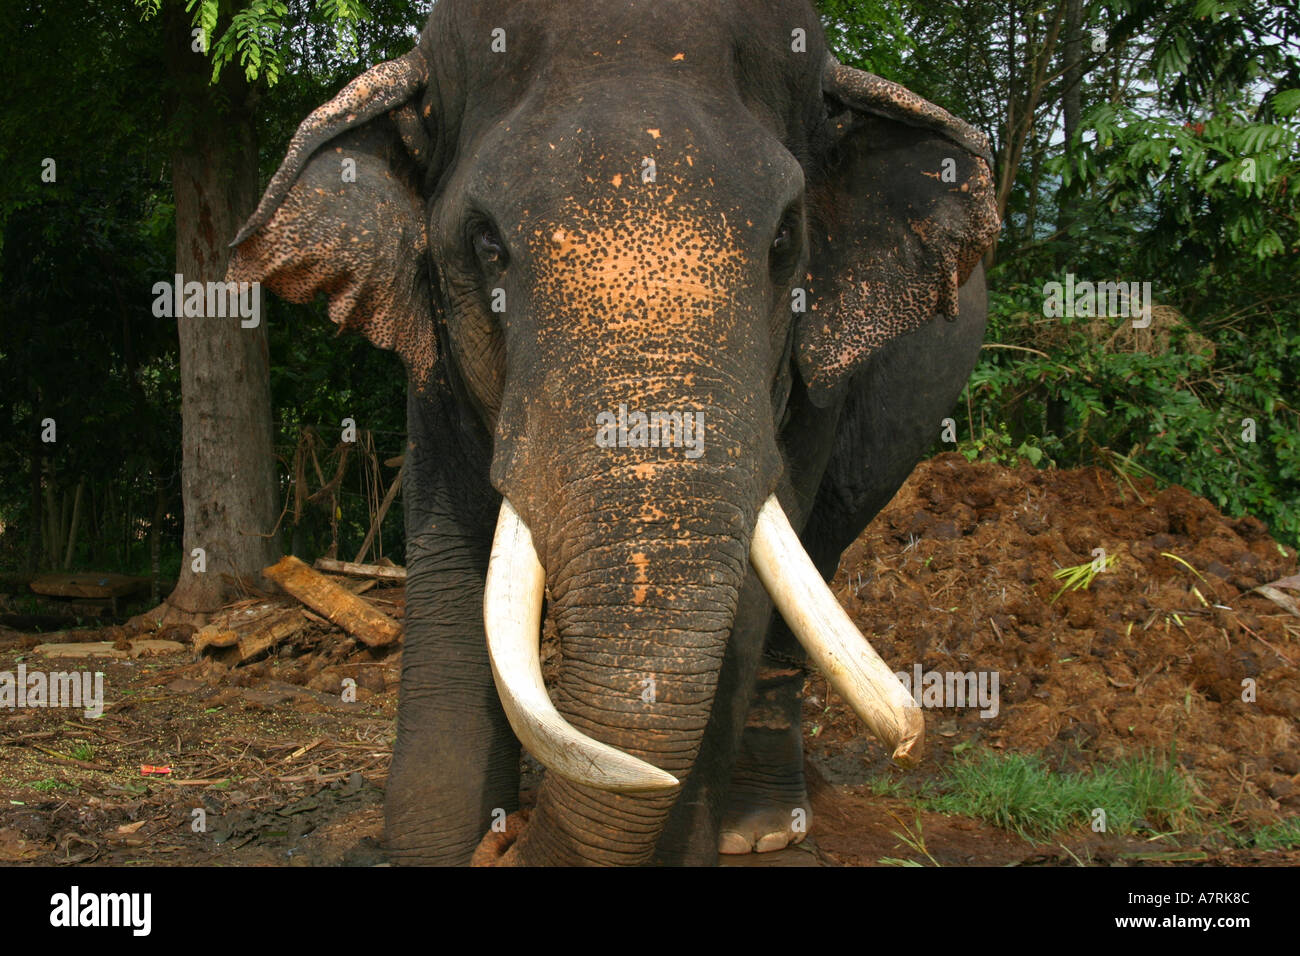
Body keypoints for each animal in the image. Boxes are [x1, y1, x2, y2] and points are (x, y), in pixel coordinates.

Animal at [229, 0, 999, 865]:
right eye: (488, 244)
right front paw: (446, 838)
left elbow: (750, 594)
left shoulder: (810, 374)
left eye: (782, 241)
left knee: (815, 567)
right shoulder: (429, 354)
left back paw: (762, 828)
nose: (505, 842)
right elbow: (451, 565)